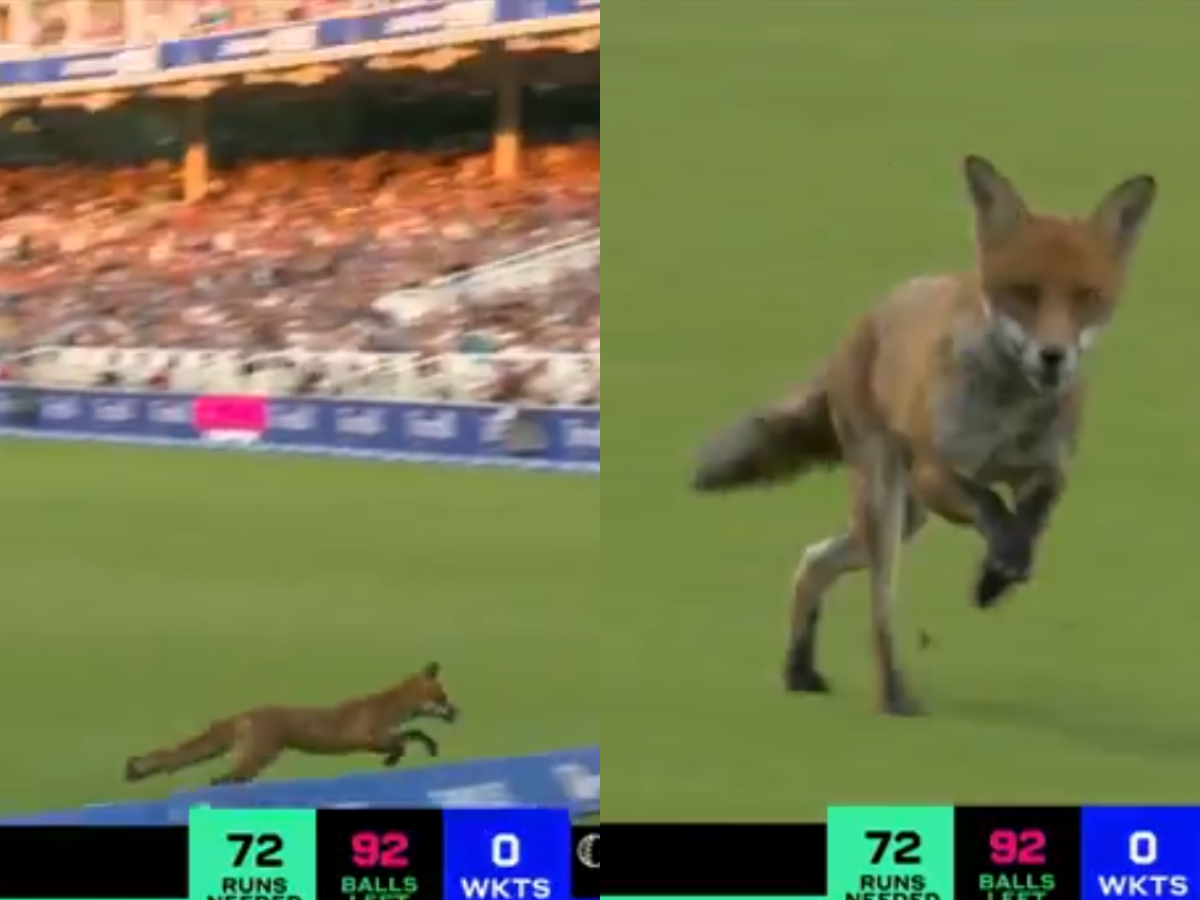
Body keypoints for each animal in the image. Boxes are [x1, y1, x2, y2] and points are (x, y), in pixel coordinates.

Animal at [124, 661, 459, 785]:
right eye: (443, 698)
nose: (458, 713)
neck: (390, 707)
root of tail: (244, 713)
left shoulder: (381, 738)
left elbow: (414, 734)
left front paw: (428, 749)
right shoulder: (372, 739)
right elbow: (404, 741)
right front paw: (394, 760)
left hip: (255, 760)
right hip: (257, 758)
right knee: (223, 780)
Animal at [692, 155, 1157, 716]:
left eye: (1089, 297)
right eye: (1023, 292)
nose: (1053, 356)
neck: (1008, 411)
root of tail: (868, 318)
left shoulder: (1047, 467)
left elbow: (1033, 517)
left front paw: (996, 576)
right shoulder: (936, 472)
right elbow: (990, 506)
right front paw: (1000, 565)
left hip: (904, 519)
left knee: (813, 561)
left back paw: (798, 668)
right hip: (889, 506)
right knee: (879, 613)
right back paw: (893, 695)